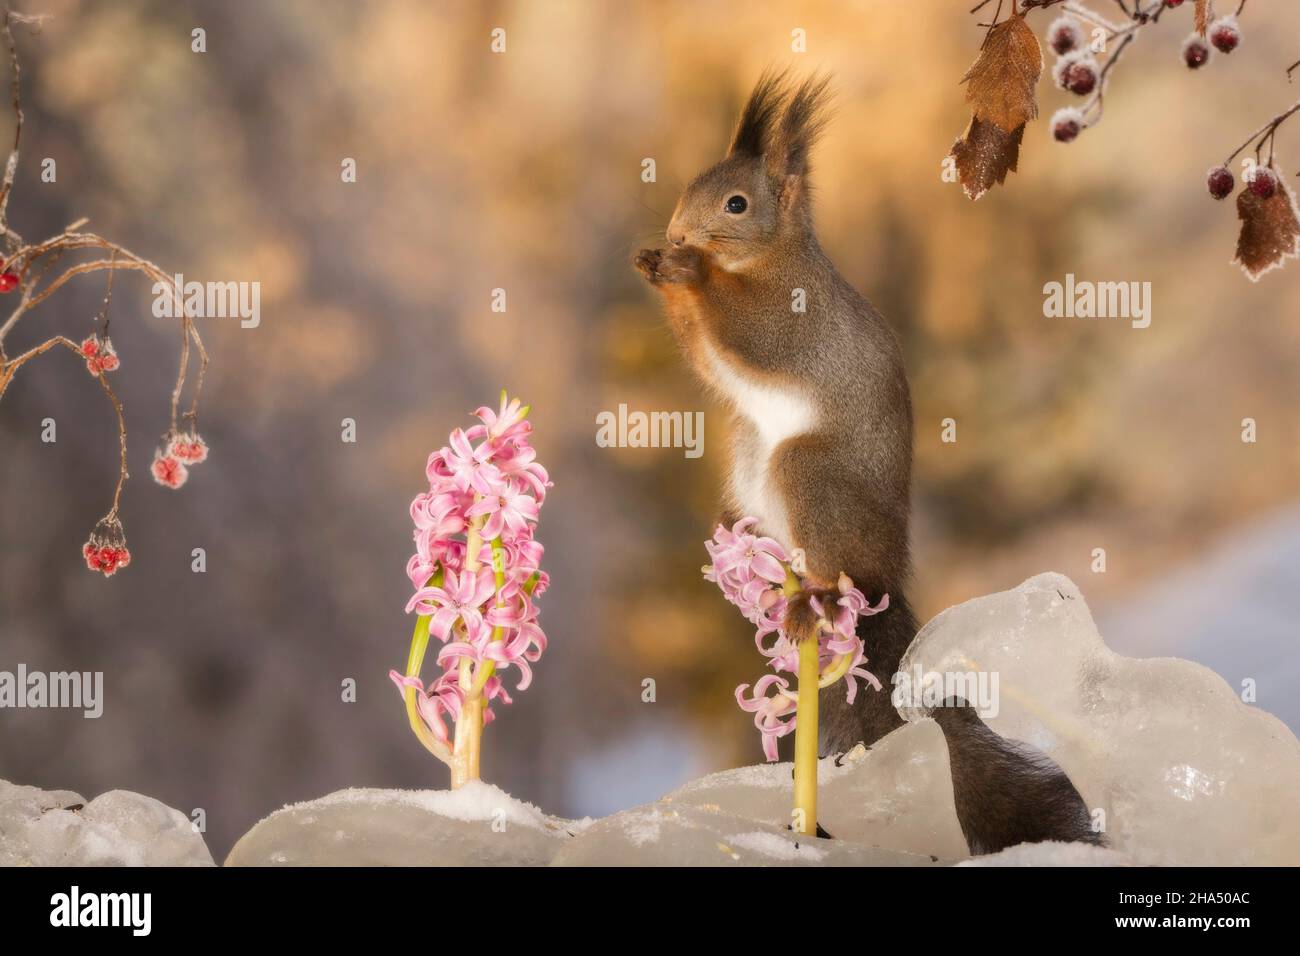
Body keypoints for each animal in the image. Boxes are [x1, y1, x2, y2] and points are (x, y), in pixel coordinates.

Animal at [635, 71, 1102, 856]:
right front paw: (656, 267)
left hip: (808, 473)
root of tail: (887, 572)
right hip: (751, 469)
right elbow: (705, 353)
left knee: (833, 570)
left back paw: (810, 601)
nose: (676, 235)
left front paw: (686, 270)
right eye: (692, 186)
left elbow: (746, 331)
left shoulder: (793, 317)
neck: (767, 258)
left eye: (735, 203)